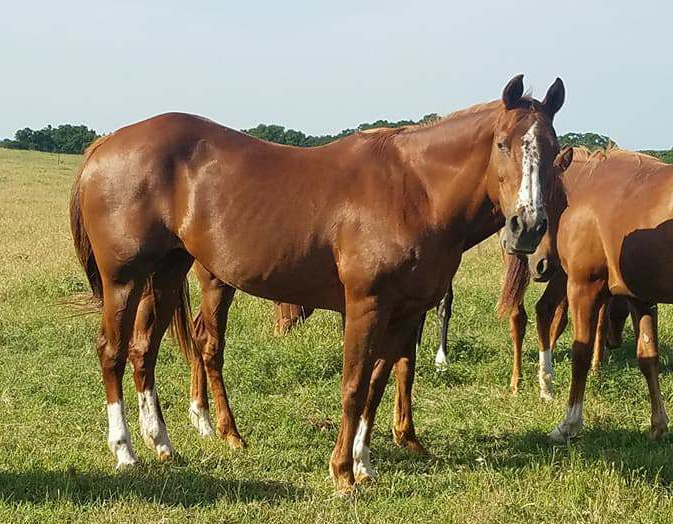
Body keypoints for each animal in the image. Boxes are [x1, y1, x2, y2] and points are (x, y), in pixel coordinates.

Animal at [69, 74, 565, 492]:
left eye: (553, 150)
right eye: (502, 144)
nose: (527, 227)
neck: (416, 191)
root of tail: (106, 144)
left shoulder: (406, 311)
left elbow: (377, 384)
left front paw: (364, 464)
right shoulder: (366, 305)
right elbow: (354, 386)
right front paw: (343, 473)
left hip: (168, 272)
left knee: (144, 351)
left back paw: (164, 444)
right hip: (124, 280)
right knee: (112, 352)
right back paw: (126, 452)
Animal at [507, 146, 672, 442]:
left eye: (552, 199)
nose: (539, 263)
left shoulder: (583, 287)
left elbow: (580, 354)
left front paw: (569, 424)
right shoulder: (640, 298)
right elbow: (647, 357)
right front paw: (658, 424)